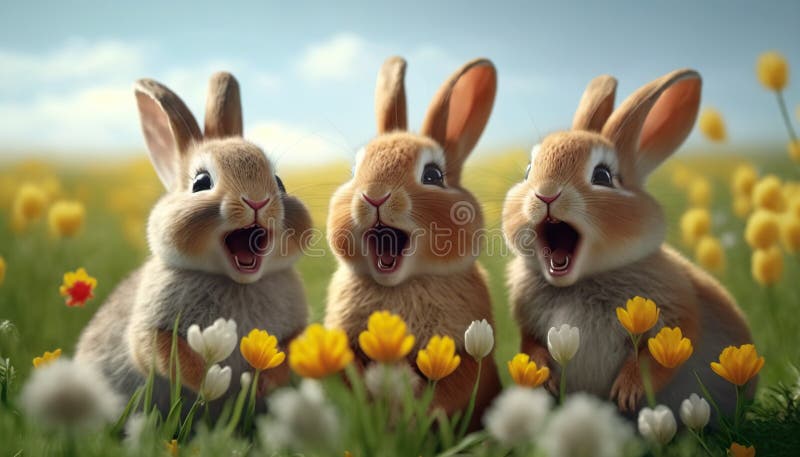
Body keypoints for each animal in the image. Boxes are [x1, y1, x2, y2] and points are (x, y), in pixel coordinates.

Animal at [75, 72, 312, 414]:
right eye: (201, 183)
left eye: (279, 183)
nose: (258, 200)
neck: (237, 281)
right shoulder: (152, 326)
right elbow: (161, 351)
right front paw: (211, 381)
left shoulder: (295, 331)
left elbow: (288, 351)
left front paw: (261, 382)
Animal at [324, 56, 502, 425]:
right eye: (354, 171)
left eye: (432, 175)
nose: (374, 195)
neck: (400, 283)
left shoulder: (467, 350)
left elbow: (454, 387)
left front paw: (415, 416)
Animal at [502, 69, 754, 419]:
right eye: (528, 171)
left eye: (603, 176)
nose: (546, 193)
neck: (580, 280)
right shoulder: (528, 323)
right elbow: (530, 345)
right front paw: (541, 377)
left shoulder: (677, 317)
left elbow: (656, 359)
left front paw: (627, 393)